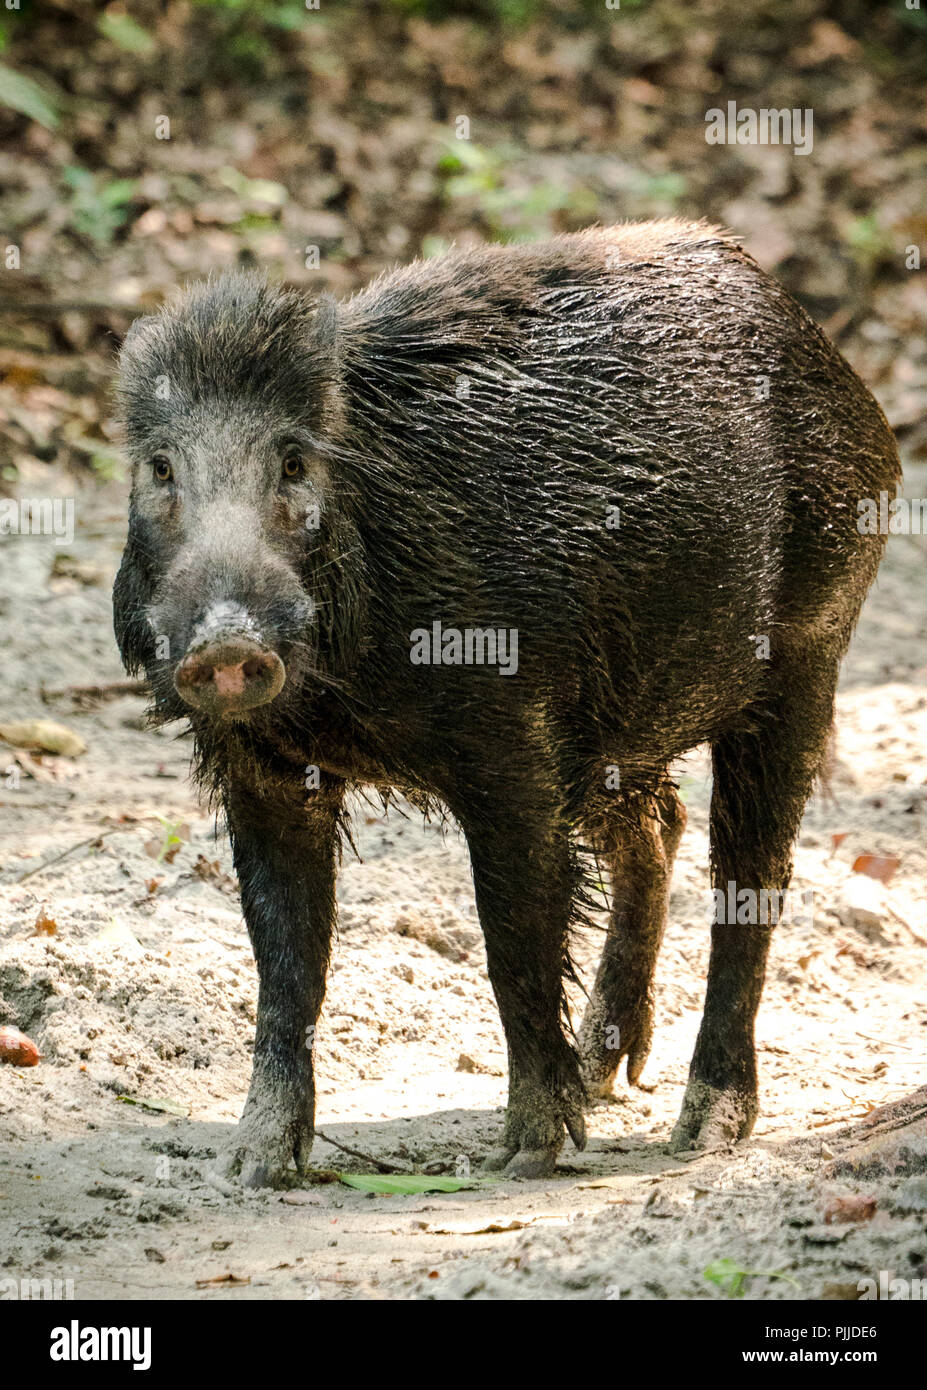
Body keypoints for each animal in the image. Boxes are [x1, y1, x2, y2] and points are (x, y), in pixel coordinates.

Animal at [114, 220, 900, 1185]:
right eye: (161, 468)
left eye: (293, 461)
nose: (227, 645)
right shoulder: (263, 768)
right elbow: (284, 962)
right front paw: (253, 1167)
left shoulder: (510, 741)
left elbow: (513, 938)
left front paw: (528, 1153)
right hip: (615, 725)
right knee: (659, 825)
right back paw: (608, 1077)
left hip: (804, 656)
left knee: (750, 884)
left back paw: (700, 1131)